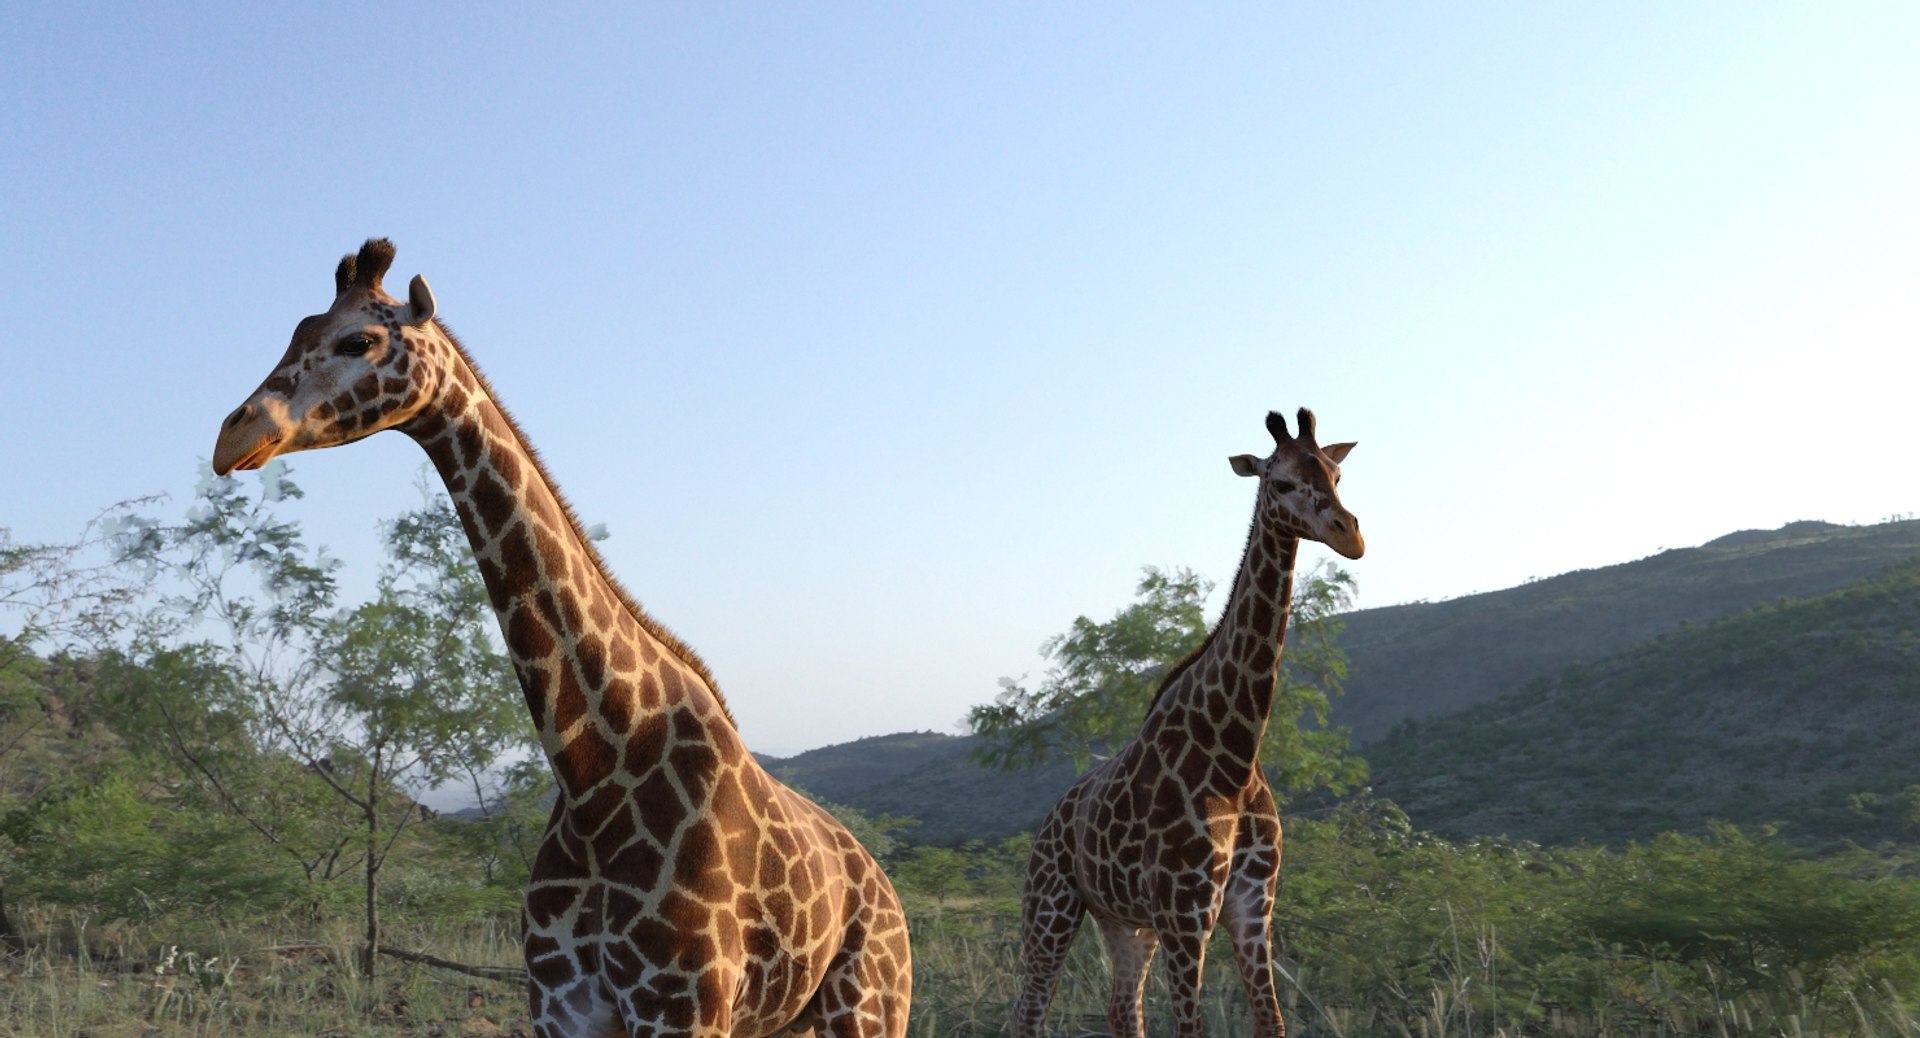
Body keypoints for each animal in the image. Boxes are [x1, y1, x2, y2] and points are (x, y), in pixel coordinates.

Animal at [212, 239, 911, 1038]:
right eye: (297, 331)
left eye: (358, 340)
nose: (232, 436)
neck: (595, 773)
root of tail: (884, 885)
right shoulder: (563, 1006)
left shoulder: (683, 1007)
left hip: (869, 1006)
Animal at [1010, 408, 1364, 1038]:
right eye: (1280, 483)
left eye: (1337, 473)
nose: (1351, 535)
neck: (1235, 754)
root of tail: (1051, 817)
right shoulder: (1186, 914)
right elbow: (1192, 1027)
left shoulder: (1252, 909)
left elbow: (1271, 1023)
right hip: (1051, 904)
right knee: (1029, 1009)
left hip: (1125, 921)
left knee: (1121, 1007)